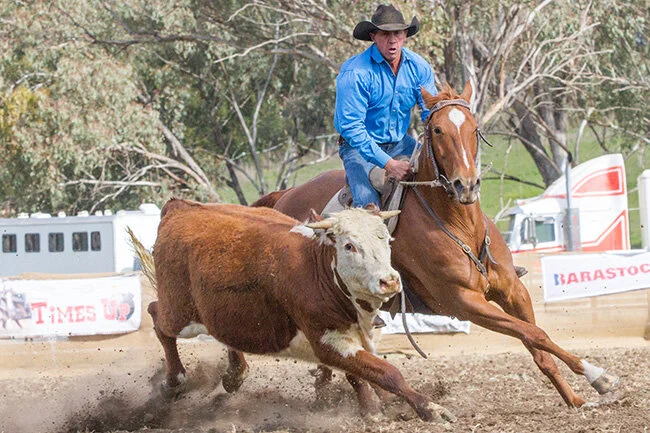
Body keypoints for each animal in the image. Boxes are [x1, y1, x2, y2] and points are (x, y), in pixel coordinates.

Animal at [234, 81, 618, 416]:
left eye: (474, 128)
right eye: (436, 130)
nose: (466, 184)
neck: (459, 225)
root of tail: (284, 196)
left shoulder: (512, 291)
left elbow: (538, 343)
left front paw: (576, 398)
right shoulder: (464, 303)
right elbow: (534, 333)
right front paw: (599, 375)